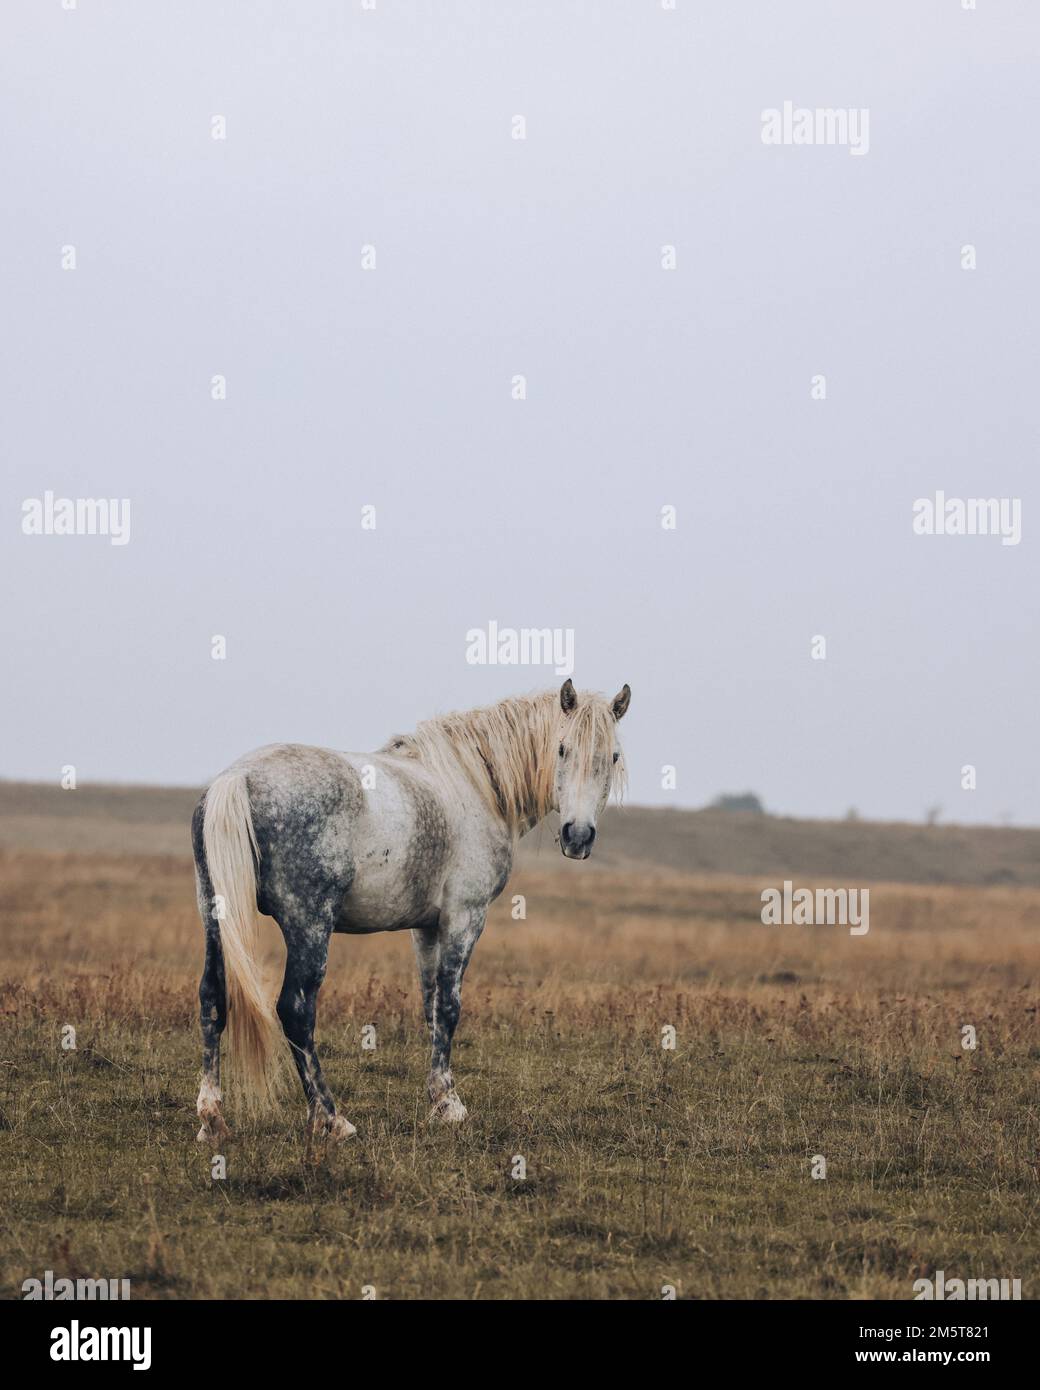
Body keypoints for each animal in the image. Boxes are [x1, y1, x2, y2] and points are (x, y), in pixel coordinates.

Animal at [192, 678, 631, 1143]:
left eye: (612, 757)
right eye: (563, 749)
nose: (578, 836)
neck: (474, 784)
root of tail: (239, 777)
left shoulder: (426, 928)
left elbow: (430, 1005)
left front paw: (437, 1097)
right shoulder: (464, 918)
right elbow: (450, 1007)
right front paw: (450, 1104)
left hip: (214, 919)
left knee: (212, 999)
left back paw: (212, 1118)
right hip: (309, 926)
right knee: (295, 1010)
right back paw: (331, 1118)